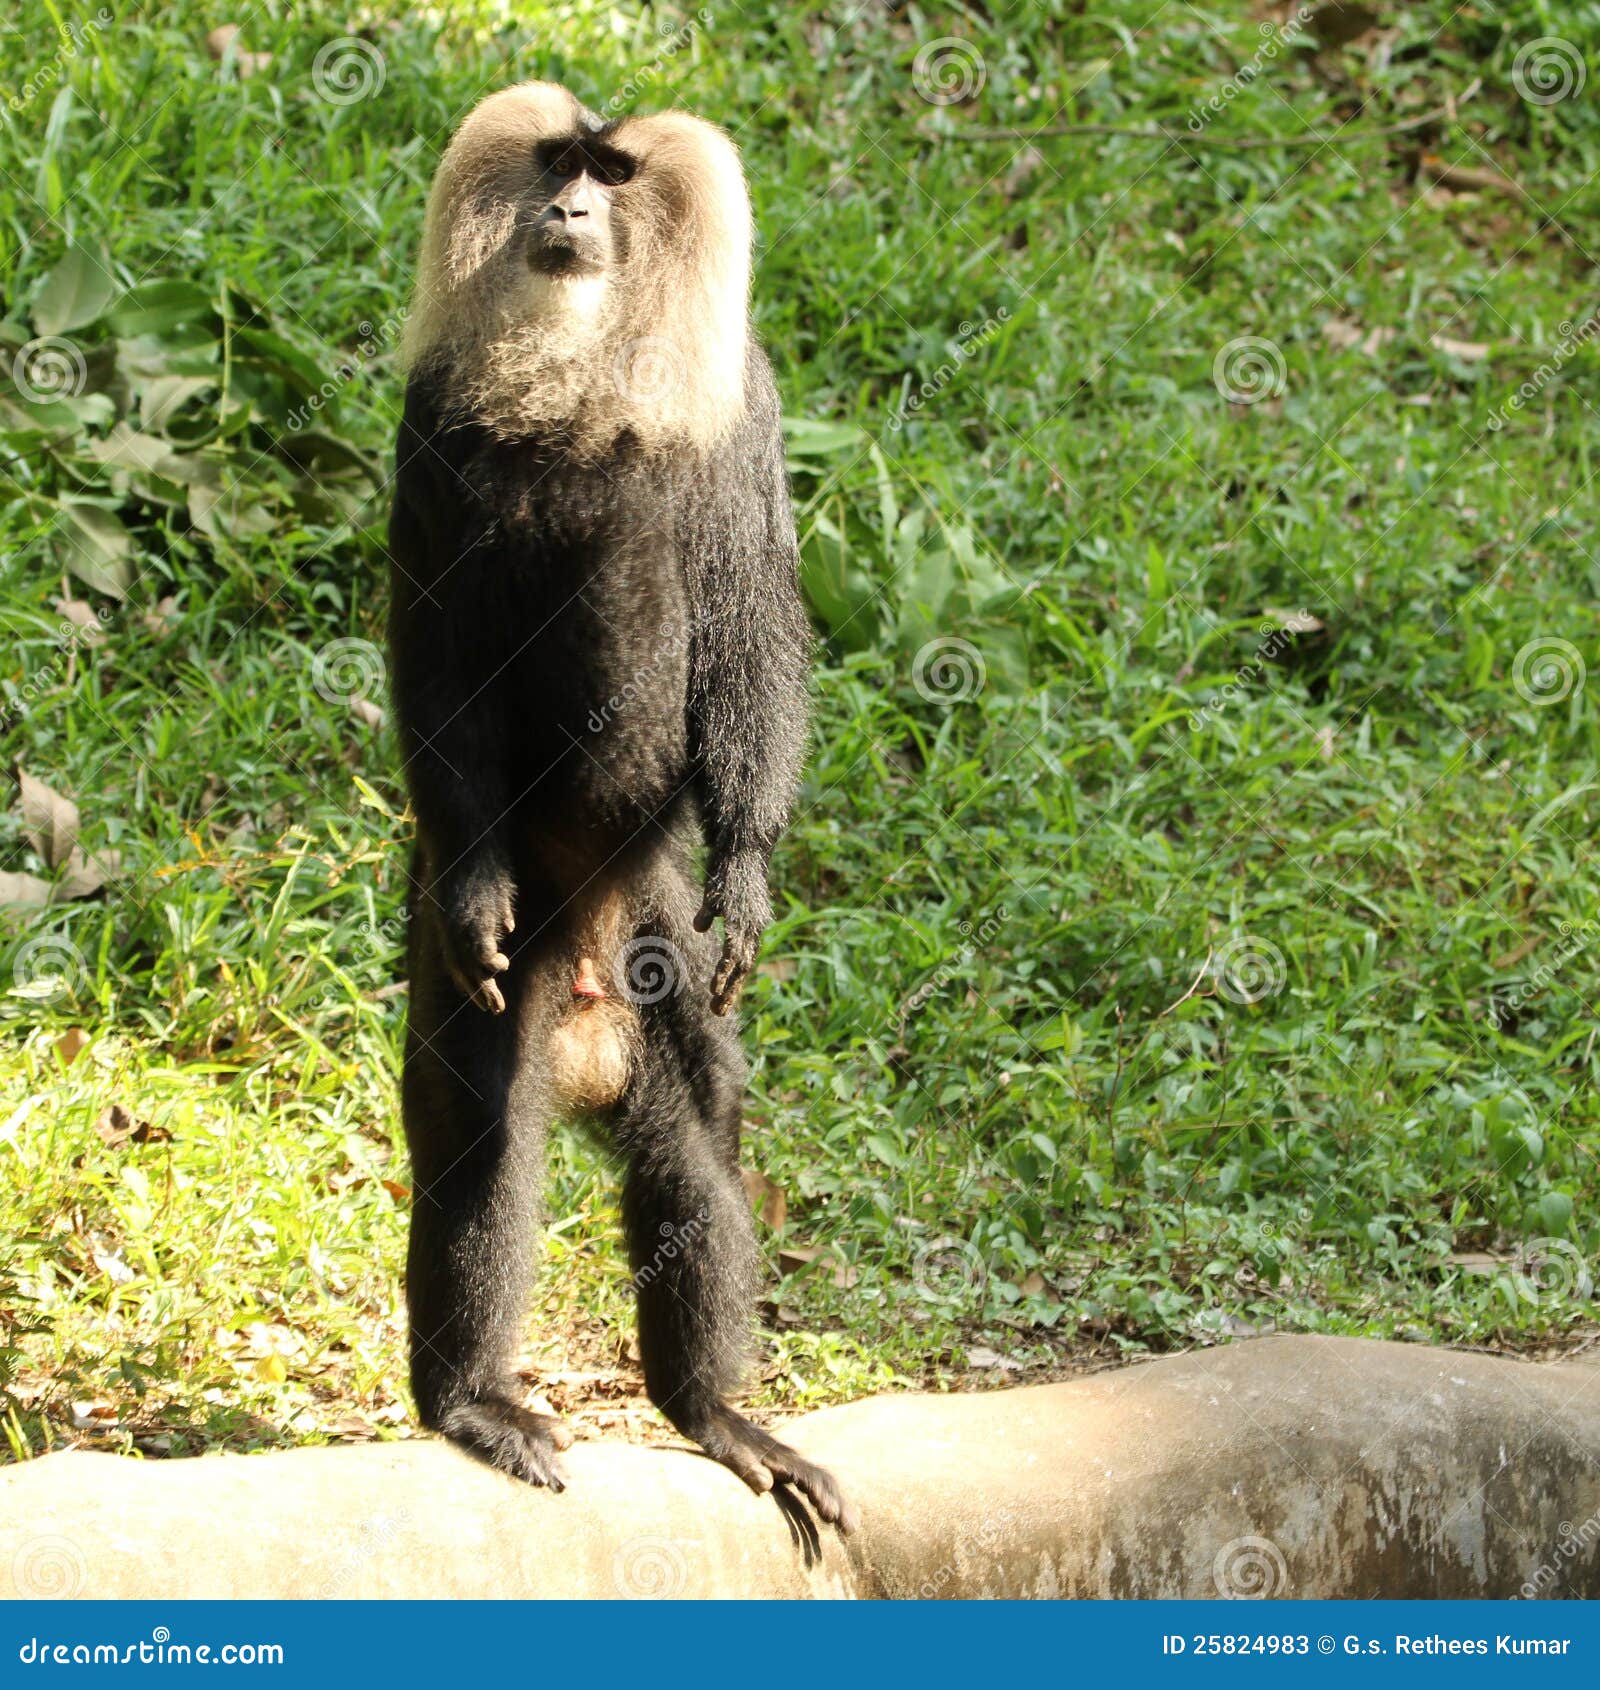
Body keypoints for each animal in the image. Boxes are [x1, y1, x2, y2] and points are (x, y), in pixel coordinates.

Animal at [387, 82, 854, 1532]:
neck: (583, 372)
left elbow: (750, 608)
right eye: (557, 161)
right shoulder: (431, 430)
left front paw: (747, 872)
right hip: (508, 983)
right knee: (483, 1145)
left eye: (613, 170)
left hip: (660, 982)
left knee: (690, 1161)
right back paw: (472, 1403)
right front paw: (475, 877)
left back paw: (710, 1413)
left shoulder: (742, 413)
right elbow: (439, 650)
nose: (567, 208)